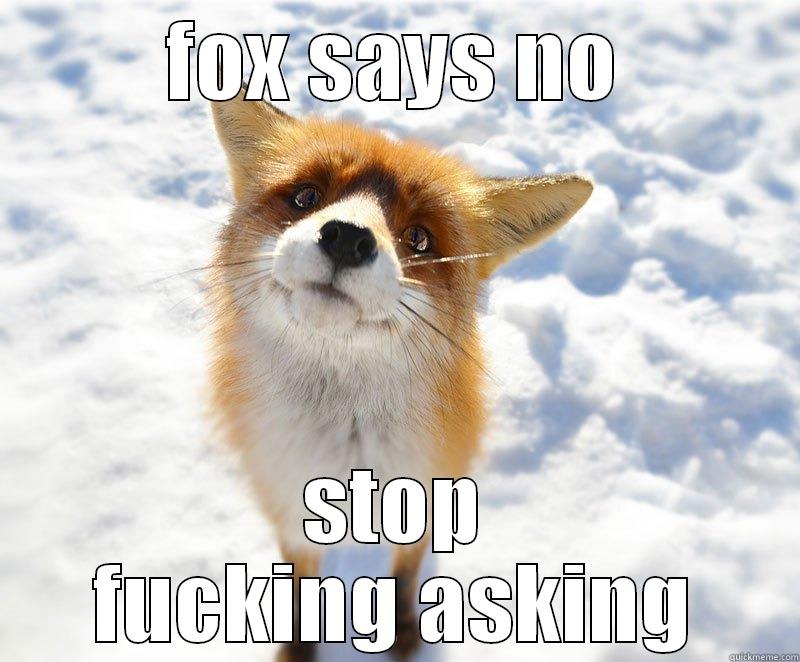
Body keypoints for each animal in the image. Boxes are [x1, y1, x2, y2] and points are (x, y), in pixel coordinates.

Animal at [208, 87, 592, 661]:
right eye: (305, 196)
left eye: (419, 237)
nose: (346, 238)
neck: (346, 453)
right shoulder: (288, 504)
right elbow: (300, 586)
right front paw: (299, 647)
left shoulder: (424, 495)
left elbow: (407, 573)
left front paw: (405, 631)